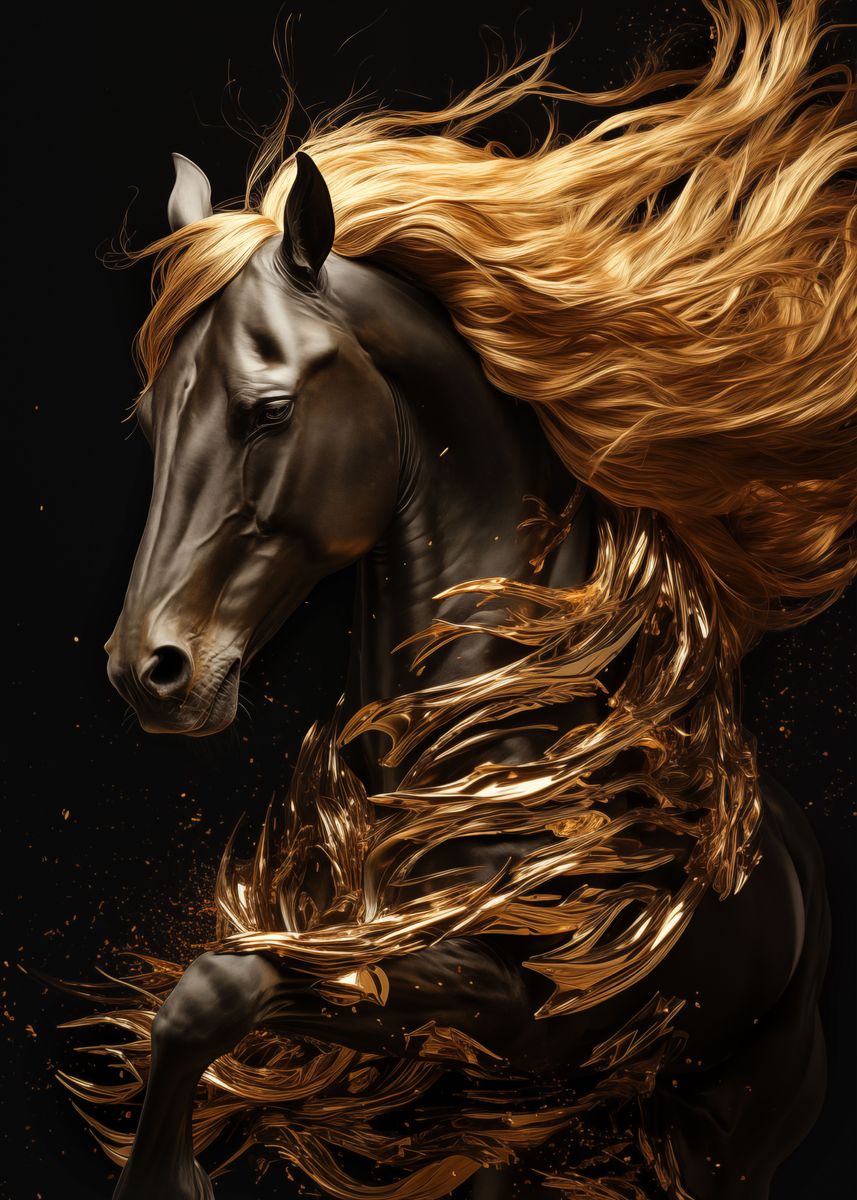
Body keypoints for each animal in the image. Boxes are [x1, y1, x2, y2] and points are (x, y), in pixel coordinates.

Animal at [98, 150, 831, 1200]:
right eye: (154, 416)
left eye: (268, 410)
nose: (146, 670)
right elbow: (221, 993)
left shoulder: (531, 1000)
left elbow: (223, 985)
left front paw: (162, 1176)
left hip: (725, 1142)